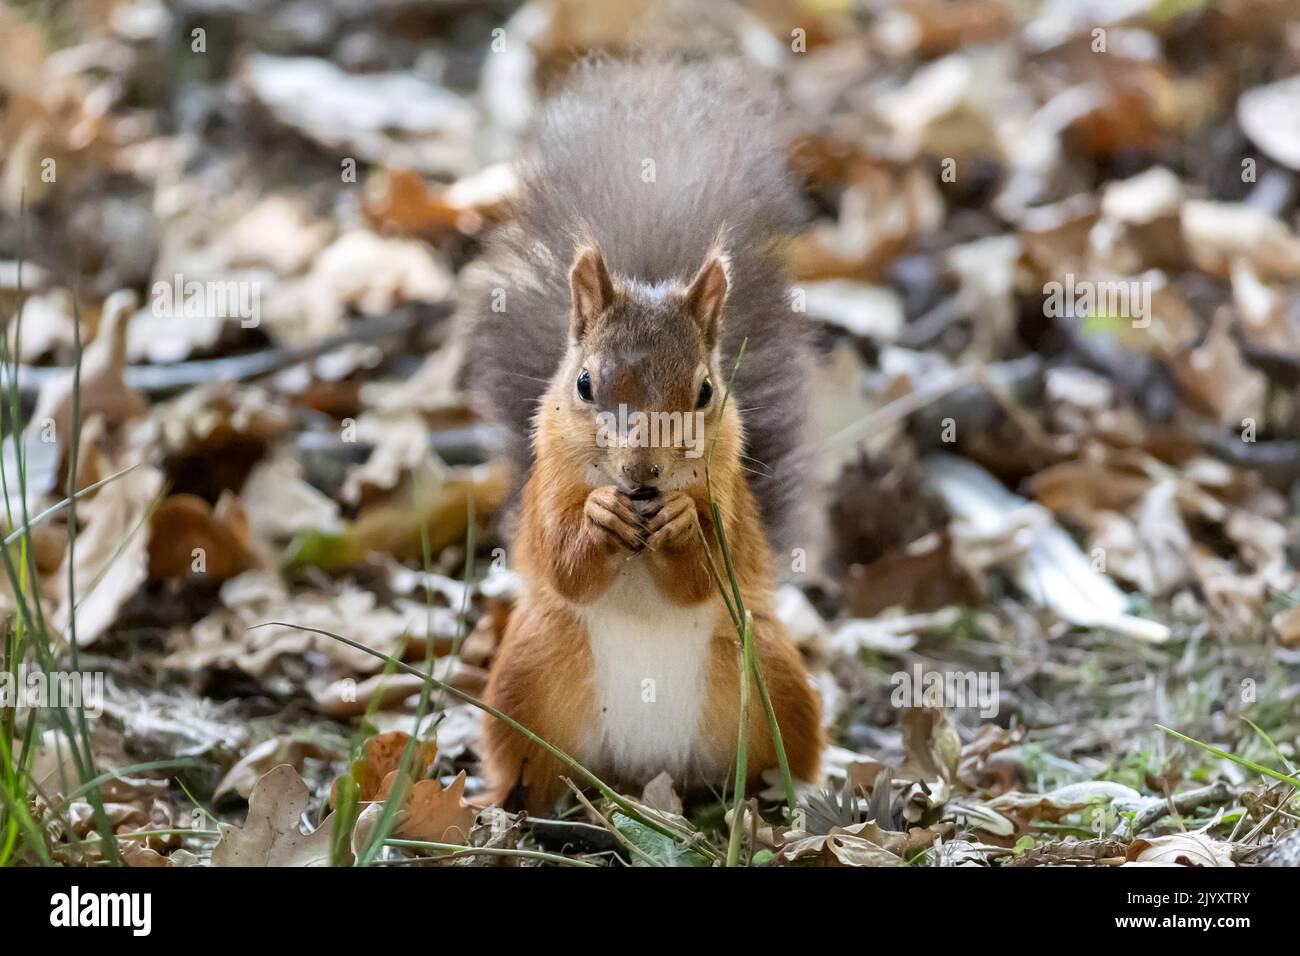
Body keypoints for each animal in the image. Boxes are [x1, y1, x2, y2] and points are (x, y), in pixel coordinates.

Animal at [469, 57, 822, 813]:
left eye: (705, 392)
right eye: (584, 384)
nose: (641, 474)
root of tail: (646, 770)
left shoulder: (732, 501)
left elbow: (711, 568)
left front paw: (684, 526)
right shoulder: (548, 490)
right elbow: (563, 561)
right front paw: (600, 517)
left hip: (773, 678)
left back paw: (789, 798)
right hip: (523, 679)